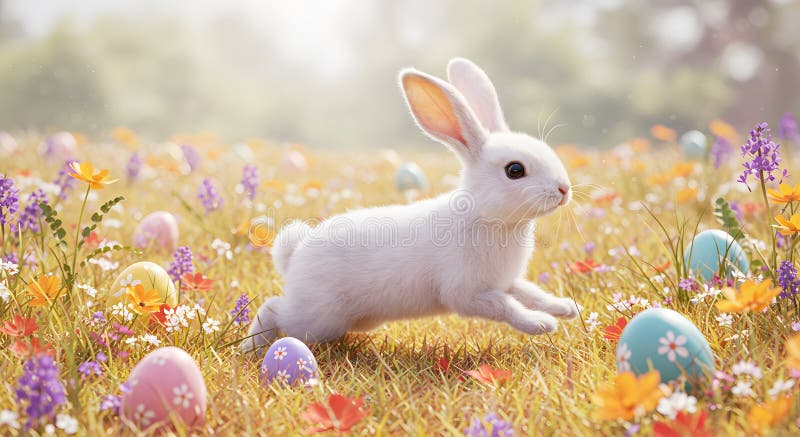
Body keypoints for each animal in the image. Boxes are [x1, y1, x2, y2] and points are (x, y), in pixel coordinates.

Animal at [240, 57, 579, 353]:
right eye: (515, 170)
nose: (563, 189)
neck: (485, 216)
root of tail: (295, 255)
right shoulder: (469, 293)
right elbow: (506, 307)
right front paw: (541, 324)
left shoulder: (505, 282)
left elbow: (529, 292)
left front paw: (565, 308)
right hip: (316, 318)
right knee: (273, 309)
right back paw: (251, 348)